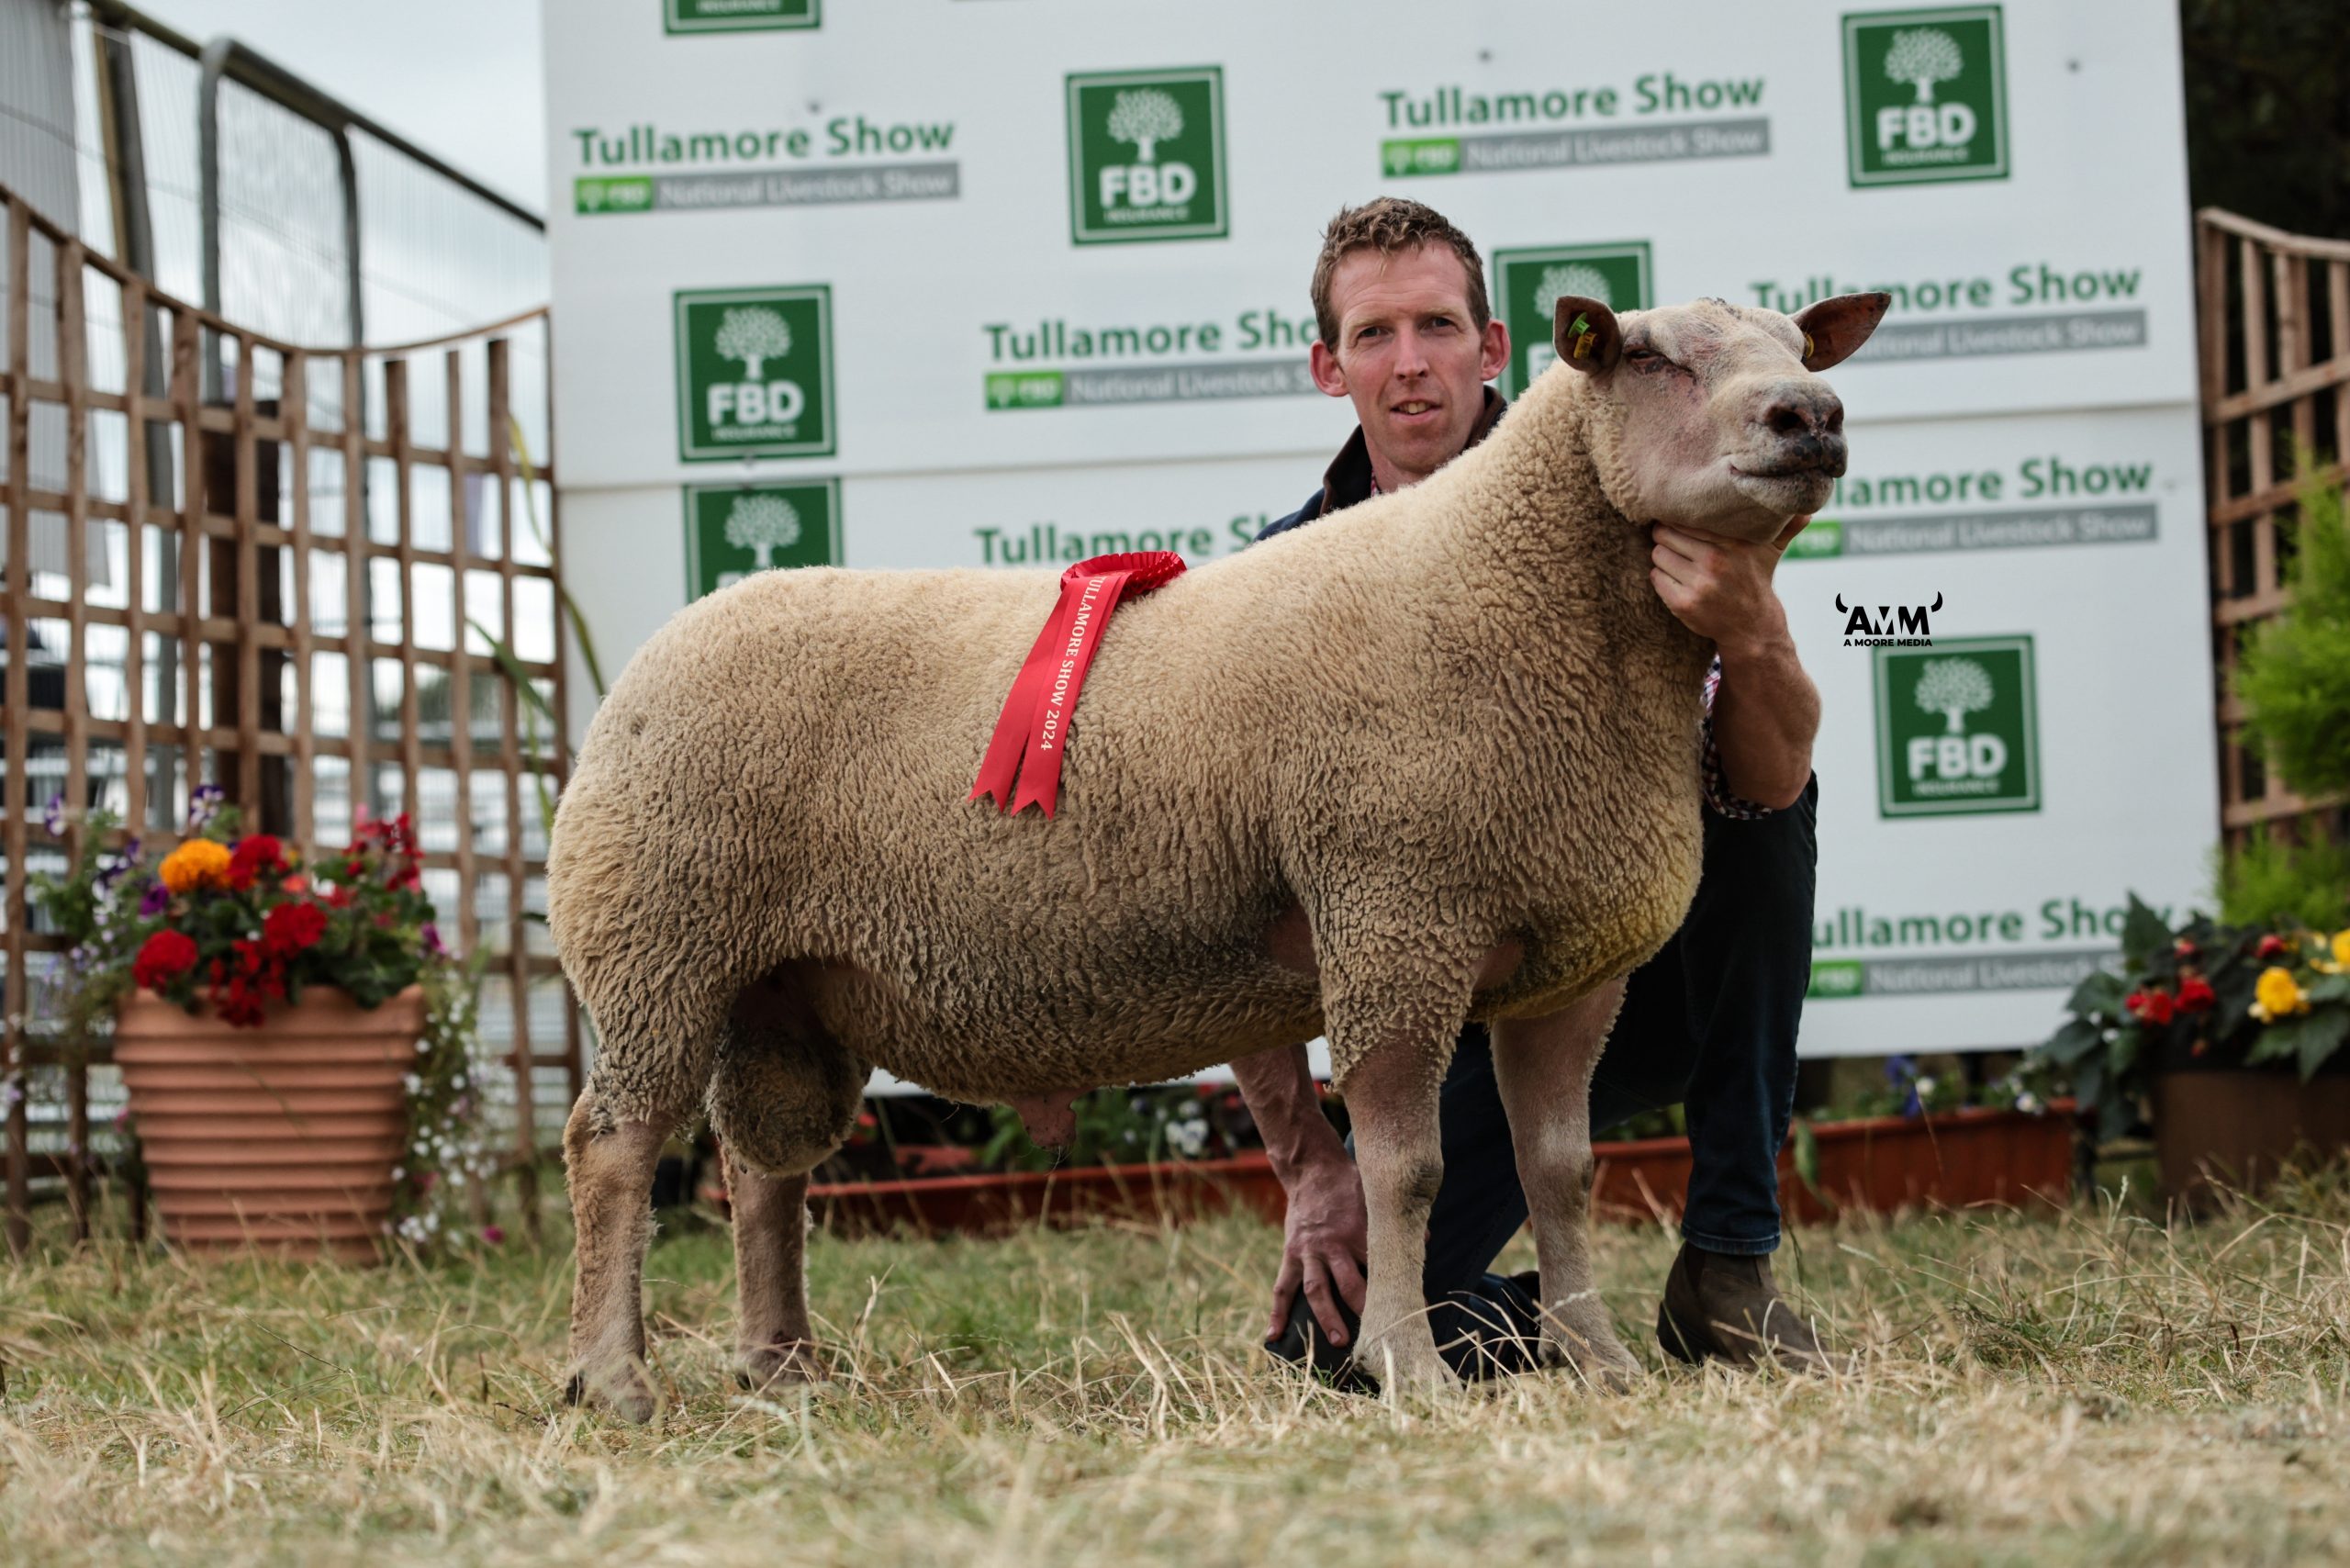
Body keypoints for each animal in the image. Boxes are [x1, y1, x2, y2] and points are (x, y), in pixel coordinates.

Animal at [549, 291, 1890, 1418]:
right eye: (1654, 357)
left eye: (1803, 348)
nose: (1811, 418)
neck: (1519, 591)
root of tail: (654, 656)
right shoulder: (1392, 917)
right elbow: (1407, 1170)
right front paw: (1408, 1369)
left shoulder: (1569, 967)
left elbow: (1559, 1170)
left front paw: (1597, 1359)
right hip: (659, 942)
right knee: (614, 1147)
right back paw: (614, 1380)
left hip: (780, 990)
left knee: (764, 1174)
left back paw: (783, 1369)